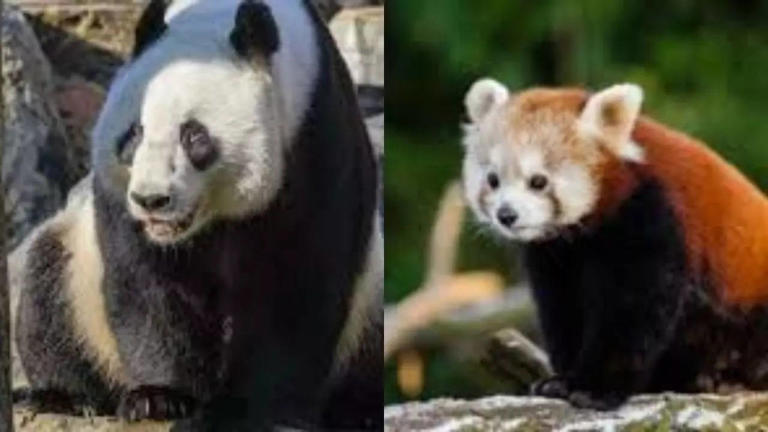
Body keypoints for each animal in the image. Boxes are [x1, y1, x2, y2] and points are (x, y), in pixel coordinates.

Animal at [14, 0, 382, 430]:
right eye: (134, 134)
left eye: (194, 137)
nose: (152, 199)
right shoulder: (119, 200)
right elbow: (144, 279)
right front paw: (160, 397)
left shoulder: (314, 137)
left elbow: (300, 280)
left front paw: (250, 407)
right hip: (78, 271)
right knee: (48, 290)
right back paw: (62, 396)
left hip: (368, 301)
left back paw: (357, 409)